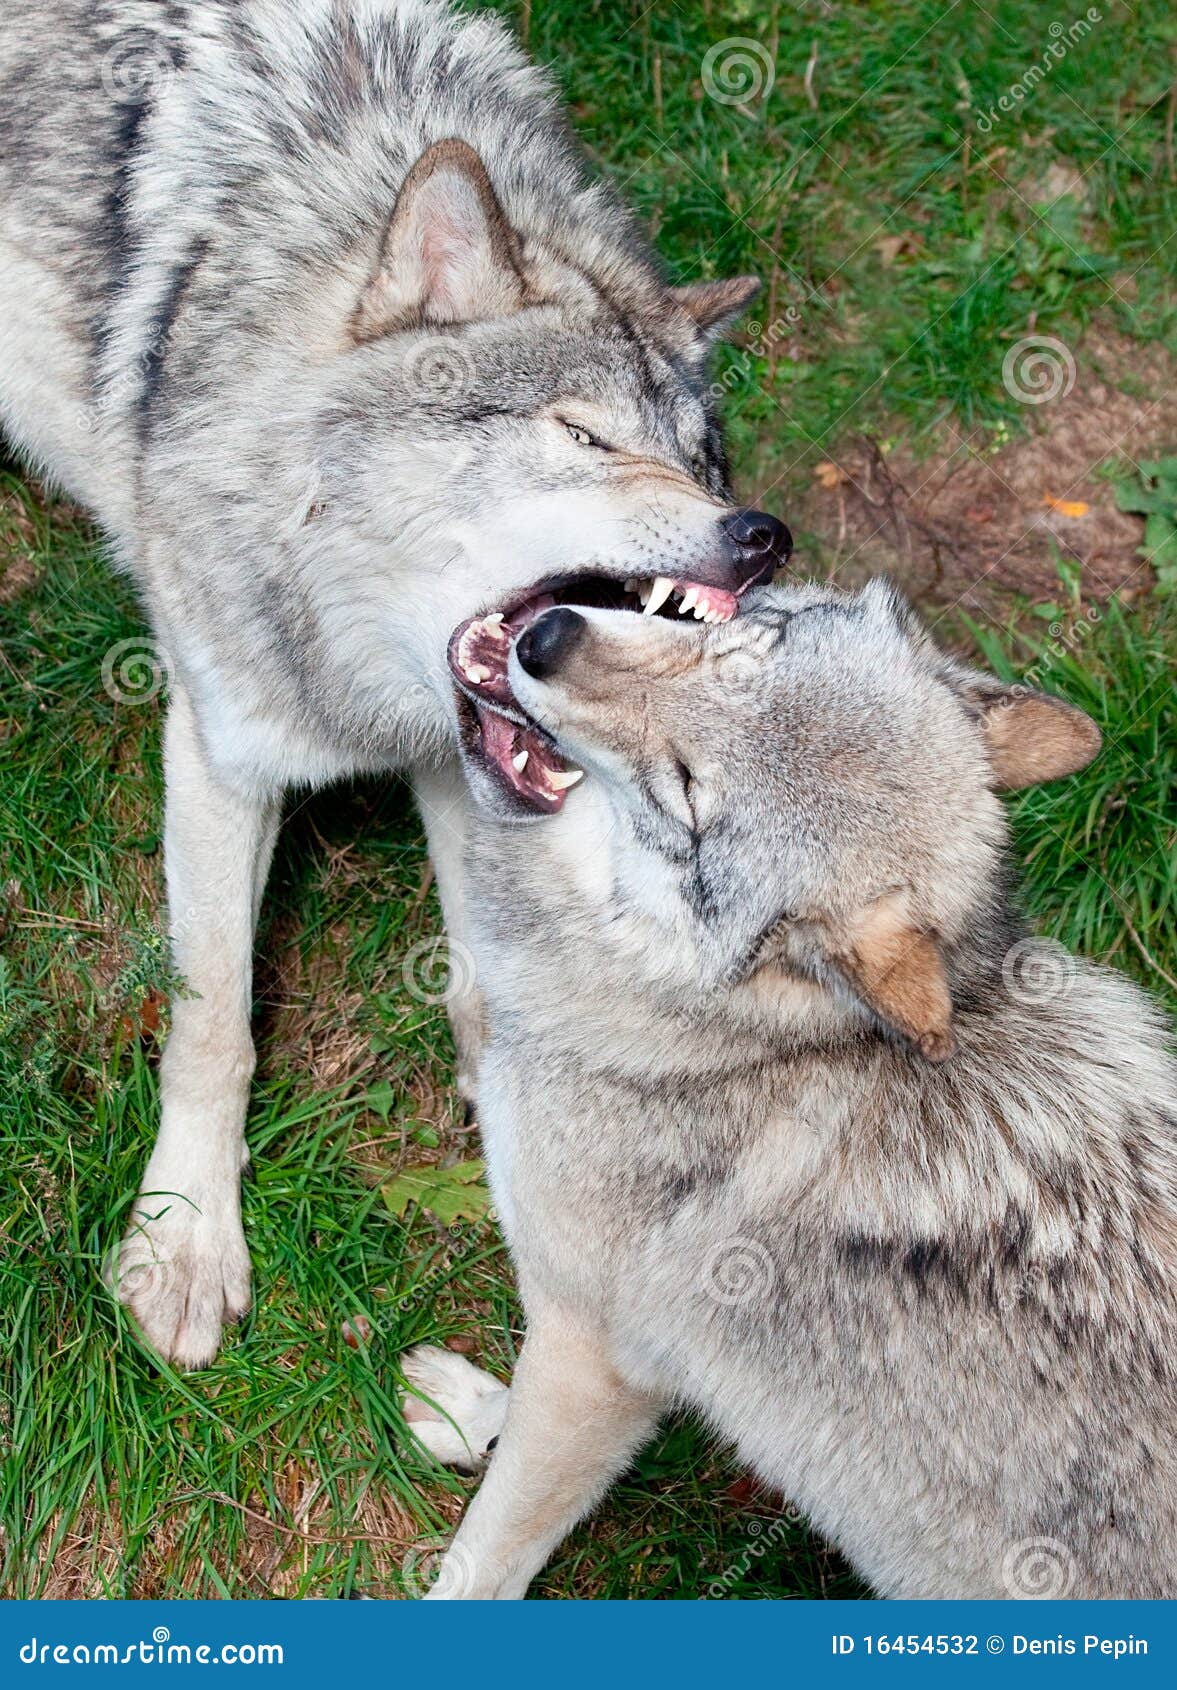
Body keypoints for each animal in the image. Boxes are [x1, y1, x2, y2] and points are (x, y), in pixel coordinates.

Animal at [0, 0, 790, 1367]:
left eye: (701, 459)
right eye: (584, 436)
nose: (758, 534)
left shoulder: (466, 774)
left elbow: (485, 976)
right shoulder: (220, 748)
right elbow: (213, 1021)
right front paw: (184, 1239)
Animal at [400, 580, 1177, 1599]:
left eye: (687, 794)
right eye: (740, 652)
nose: (547, 637)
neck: (750, 1044)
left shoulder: (591, 1346)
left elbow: (488, 1543)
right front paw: (465, 1411)